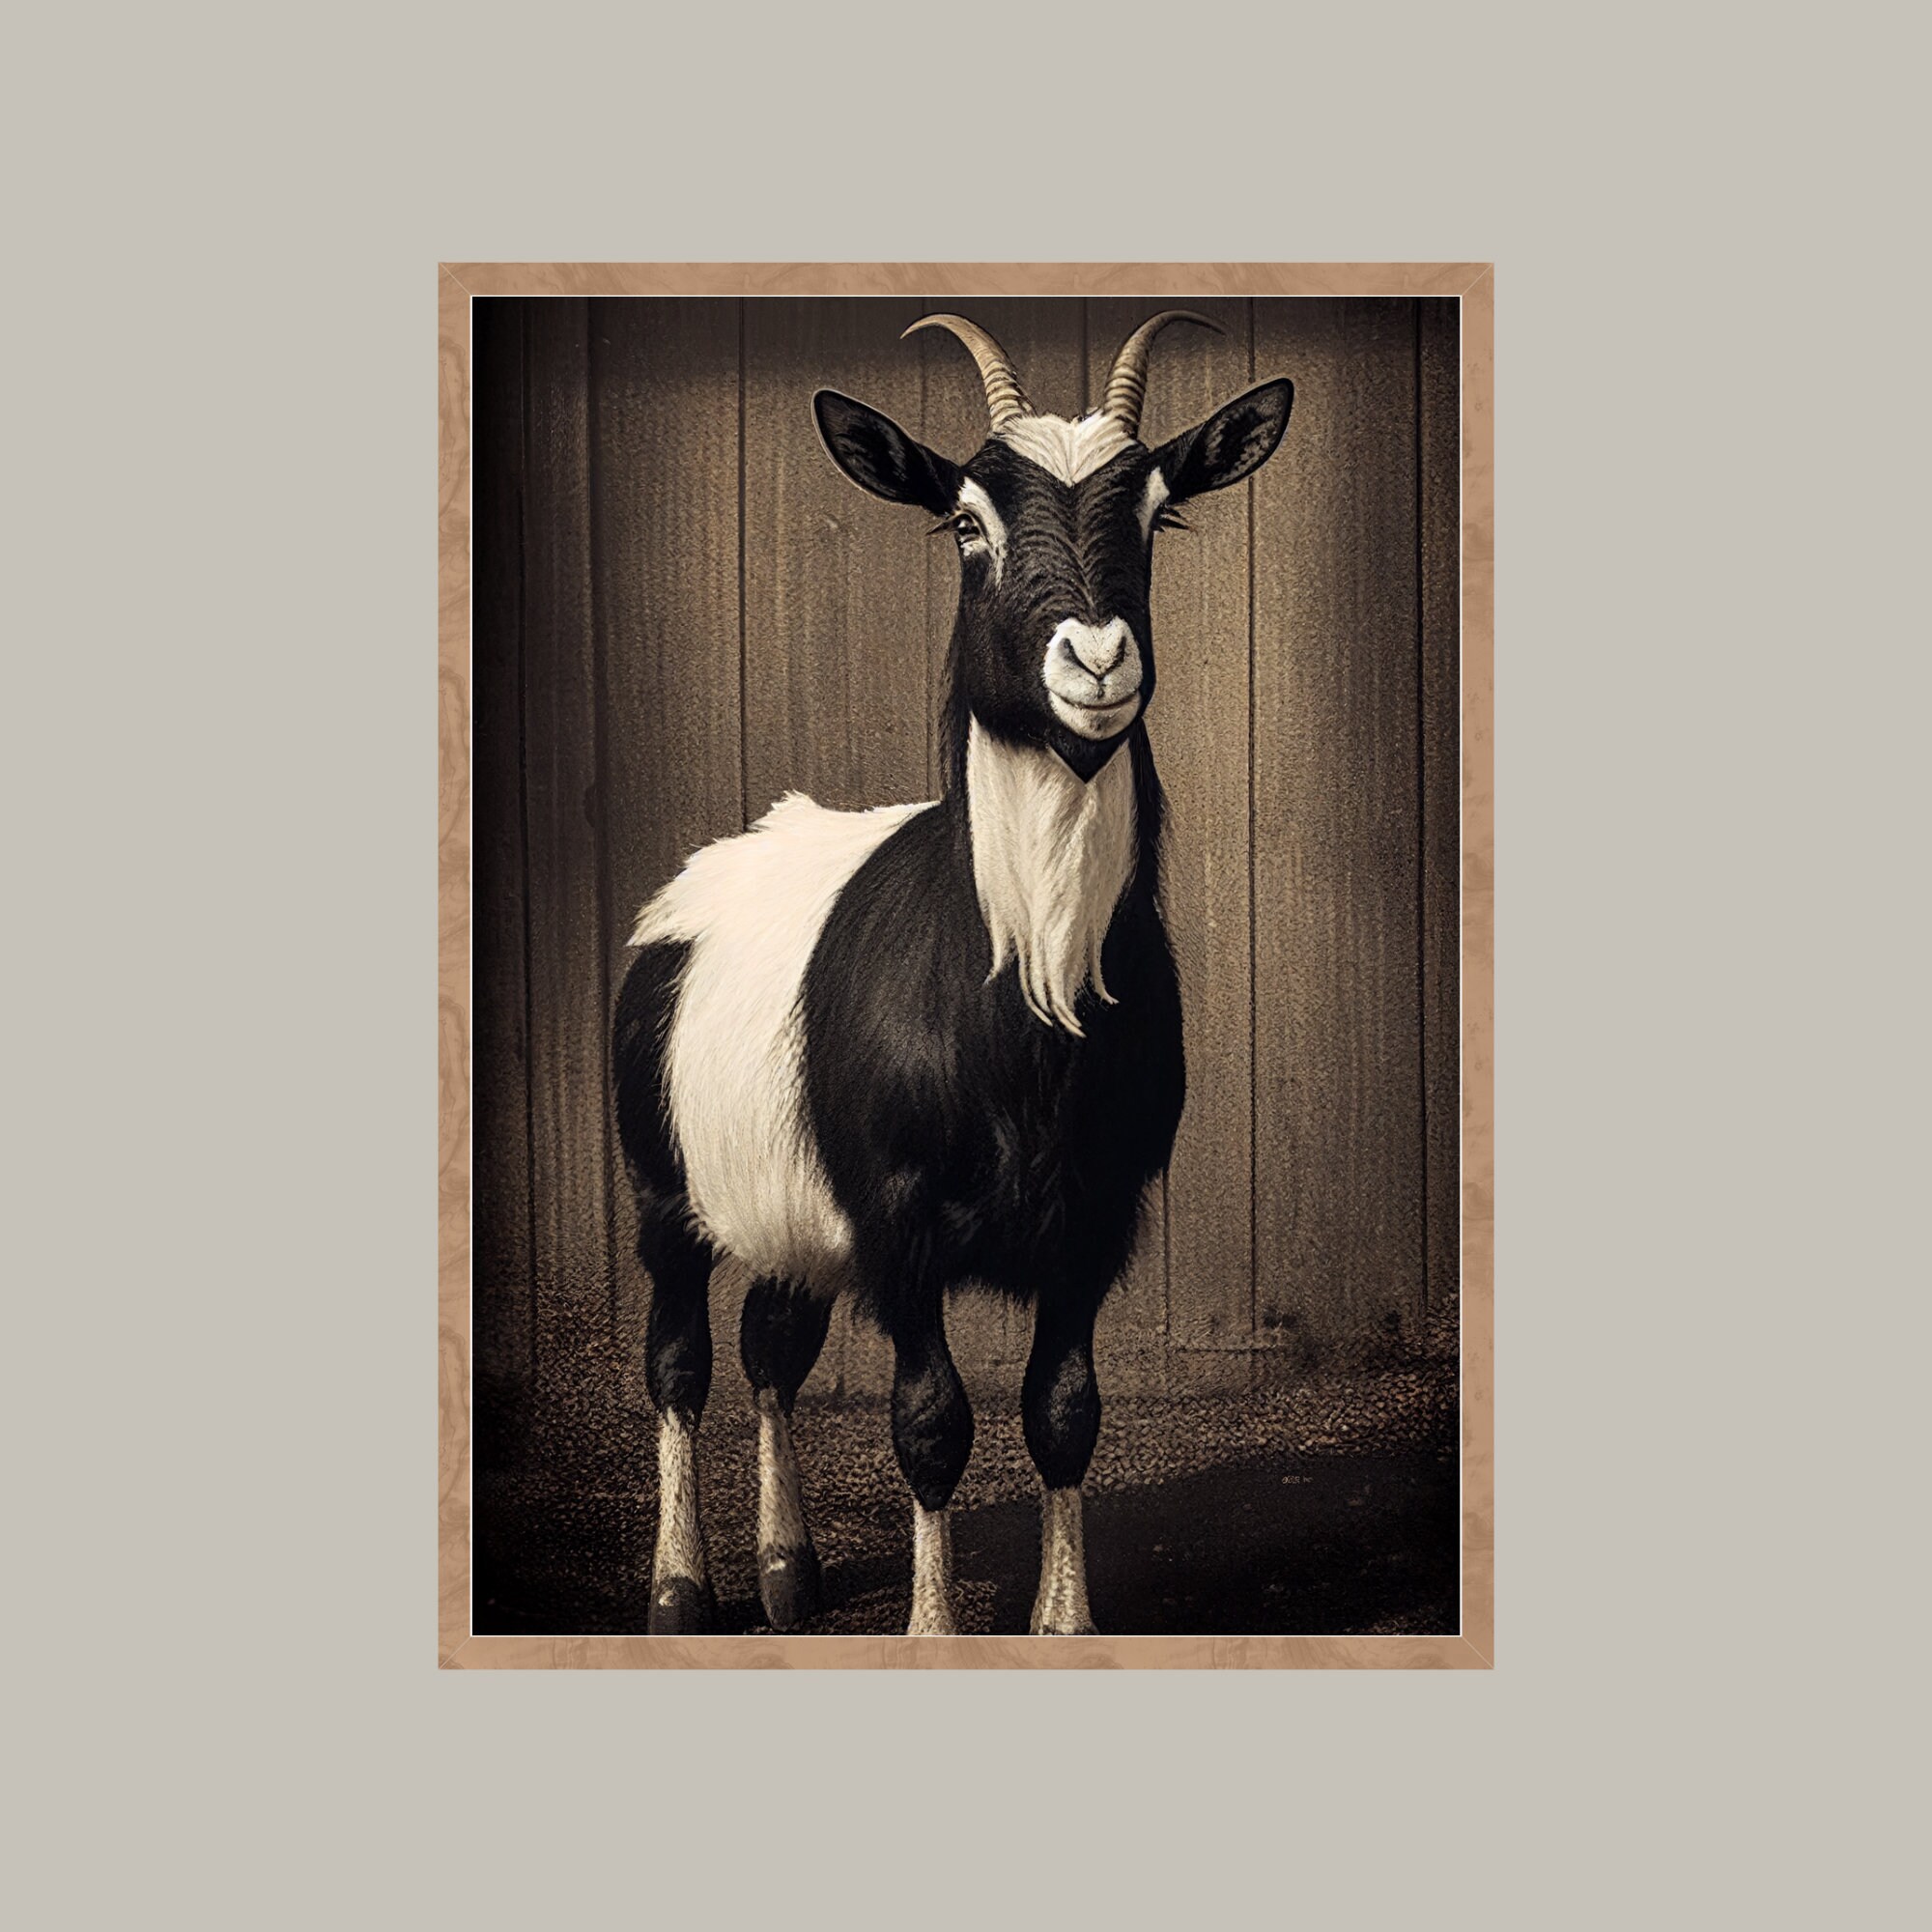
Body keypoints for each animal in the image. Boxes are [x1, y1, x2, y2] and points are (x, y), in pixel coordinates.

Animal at [613, 311, 1294, 1634]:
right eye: (967, 522)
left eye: (1157, 515)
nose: (1095, 660)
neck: (1027, 997)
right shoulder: (898, 1220)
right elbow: (928, 1423)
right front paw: (932, 1628)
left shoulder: (1093, 1220)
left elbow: (1063, 1415)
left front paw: (1064, 1622)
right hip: (665, 1189)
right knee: (681, 1359)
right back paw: (680, 1586)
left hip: (794, 1211)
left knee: (773, 1344)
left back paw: (788, 1574)